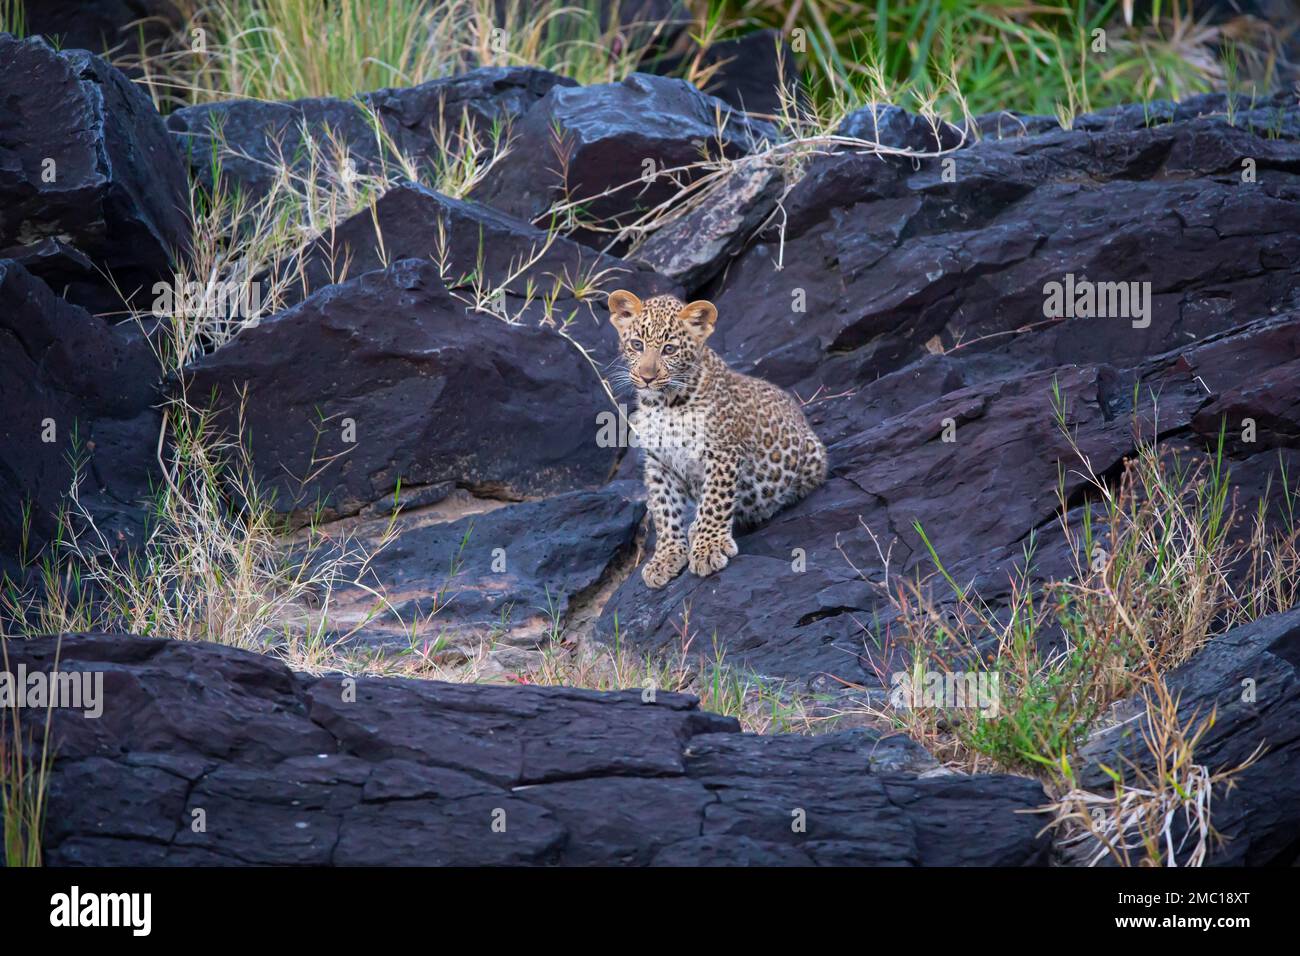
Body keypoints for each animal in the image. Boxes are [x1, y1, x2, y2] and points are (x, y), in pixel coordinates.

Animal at [607, 289, 828, 589]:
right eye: (637, 344)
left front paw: (709, 548)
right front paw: (665, 557)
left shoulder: (721, 452)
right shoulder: (658, 464)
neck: (663, 403)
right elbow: (664, 511)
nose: (647, 377)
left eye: (669, 349)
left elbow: (714, 501)